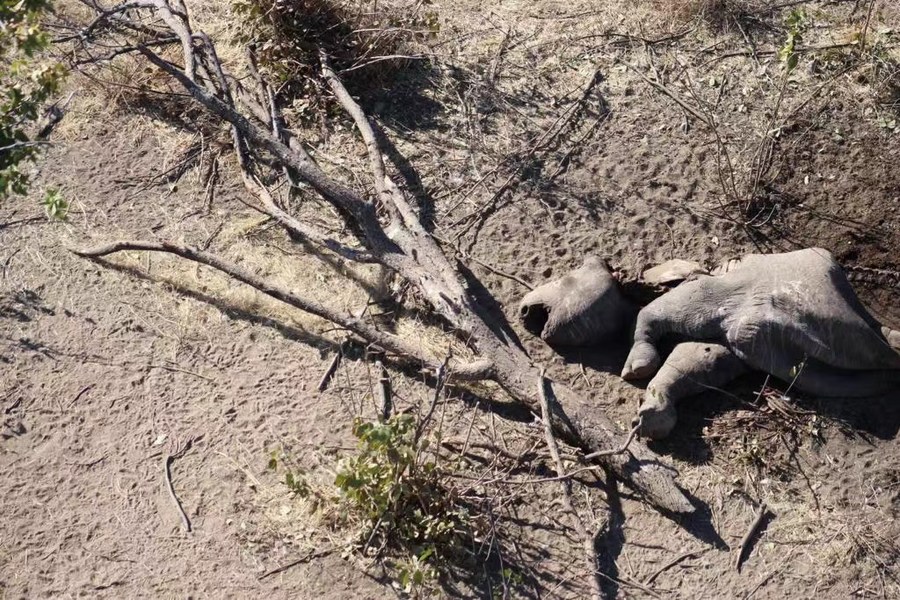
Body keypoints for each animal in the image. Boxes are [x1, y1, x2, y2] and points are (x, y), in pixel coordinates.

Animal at [520, 248, 900, 439]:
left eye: (567, 277)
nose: (524, 309)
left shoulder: (702, 301)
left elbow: (649, 319)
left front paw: (638, 366)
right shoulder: (738, 344)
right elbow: (696, 363)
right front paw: (656, 409)